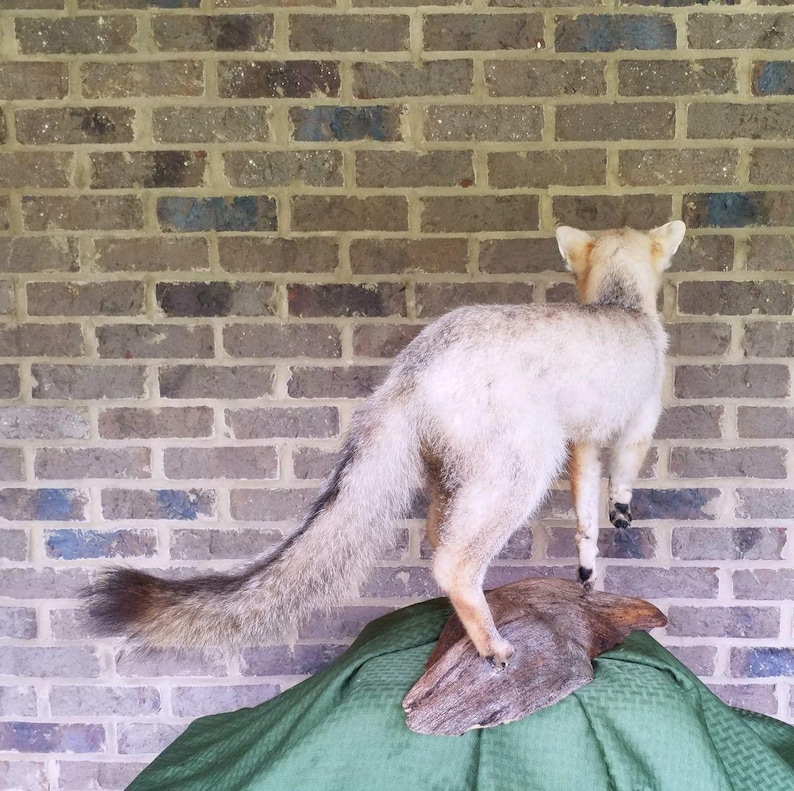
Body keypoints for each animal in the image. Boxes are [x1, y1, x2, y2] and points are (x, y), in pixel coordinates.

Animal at [85, 221, 686, 668]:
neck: (622, 306)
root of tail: (413, 365)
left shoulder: (583, 445)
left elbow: (585, 520)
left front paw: (587, 571)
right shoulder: (638, 426)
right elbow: (623, 479)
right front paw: (622, 510)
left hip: (461, 481)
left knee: (438, 546)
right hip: (524, 473)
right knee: (452, 563)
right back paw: (490, 642)